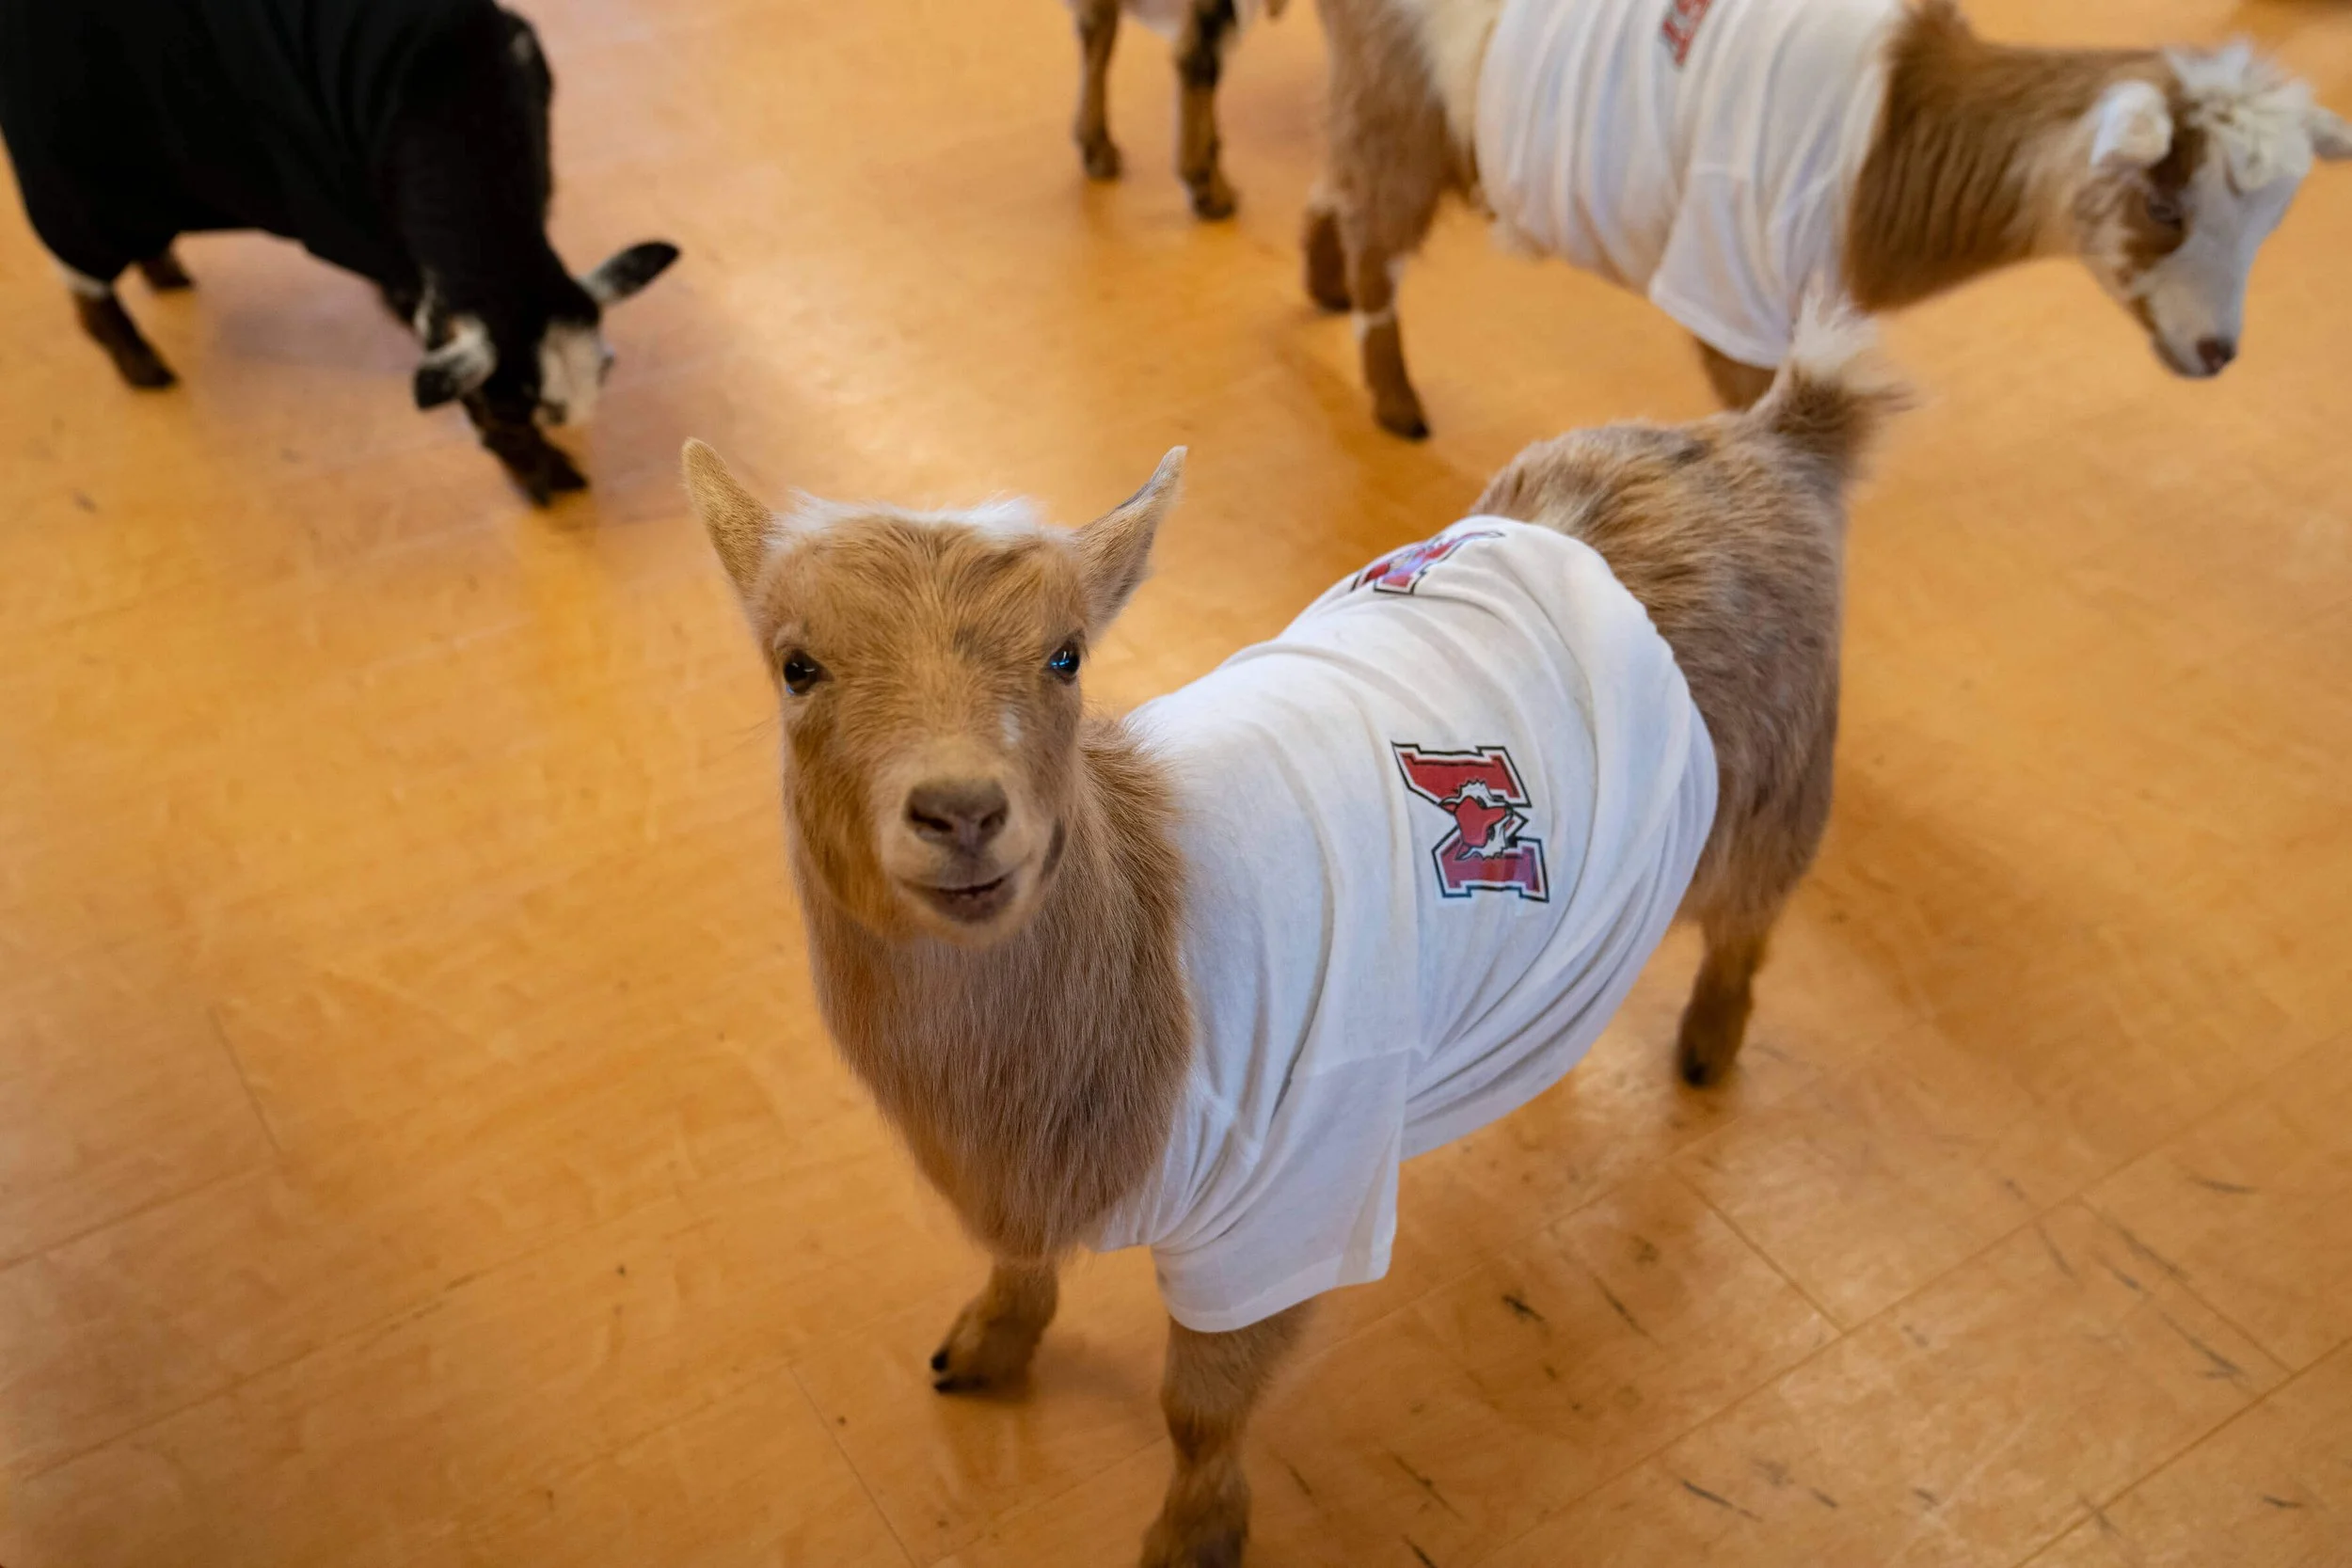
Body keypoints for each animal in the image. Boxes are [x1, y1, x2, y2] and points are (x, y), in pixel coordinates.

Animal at [0, 0, 679, 504]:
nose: (550, 491)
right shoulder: (375, 233)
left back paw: (165, 271)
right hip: (74, 163)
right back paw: (139, 363)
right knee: (84, 268)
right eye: (496, 410)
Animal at [685, 306, 1903, 1566]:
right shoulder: (1029, 1173)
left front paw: (1191, 1537)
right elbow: (1020, 1258)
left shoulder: (1286, 1197)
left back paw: (1709, 1044)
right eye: (796, 664)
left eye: (1067, 654)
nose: (962, 810)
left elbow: (1201, 1405)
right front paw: (986, 1342)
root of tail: (1777, 436)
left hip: (1772, 788)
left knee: (1749, 917)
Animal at [1306, 0, 2351, 436]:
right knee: (1377, 239)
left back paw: (1322, 285)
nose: (2217, 351)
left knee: (1340, 193)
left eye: (2266, 231)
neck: (1891, 133)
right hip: (1402, 102)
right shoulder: (1732, 282)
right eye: (2164, 206)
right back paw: (1395, 402)